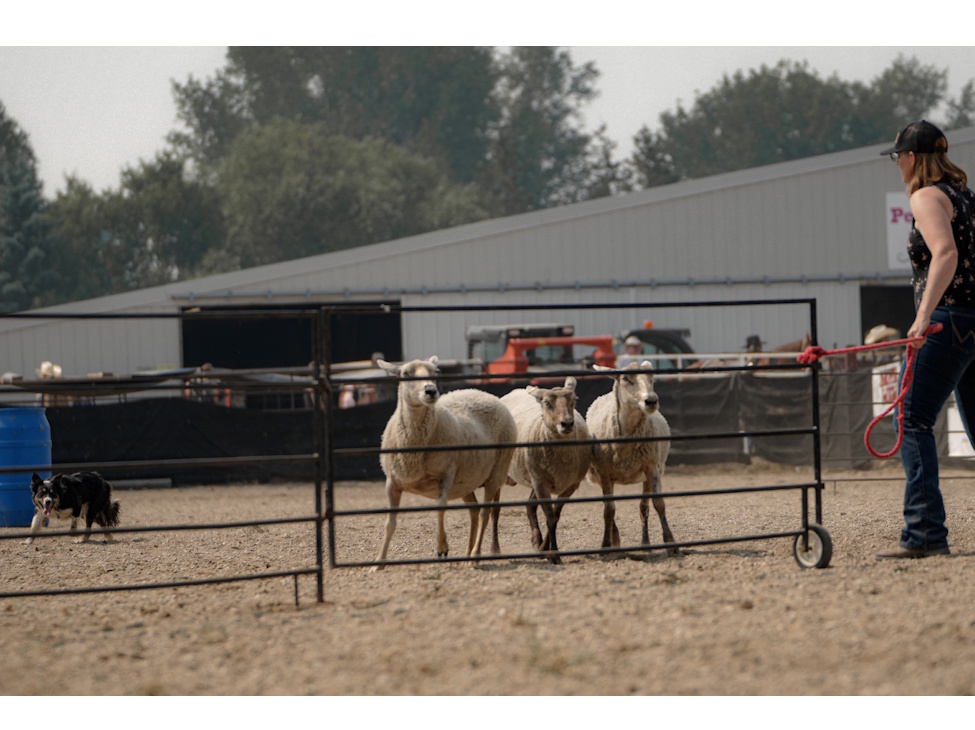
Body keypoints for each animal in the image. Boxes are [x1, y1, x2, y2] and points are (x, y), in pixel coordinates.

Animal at [372, 356, 516, 571]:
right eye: (405, 373)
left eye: (435, 373)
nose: (430, 390)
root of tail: (485, 394)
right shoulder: (392, 483)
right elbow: (389, 523)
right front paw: (379, 562)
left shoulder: (446, 475)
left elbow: (440, 506)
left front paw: (442, 547)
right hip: (467, 480)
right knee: (474, 511)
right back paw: (467, 553)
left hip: (496, 472)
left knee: (485, 513)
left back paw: (475, 555)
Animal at [499, 377, 591, 563]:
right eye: (547, 403)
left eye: (574, 400)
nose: (567, 424)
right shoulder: (541, 484)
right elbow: (550, 518)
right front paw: (554, 554)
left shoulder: (570, 486)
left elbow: (555, 516)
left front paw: (544, 548)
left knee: (529, 506)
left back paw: (537, 540)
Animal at [586, 360, 677, 555]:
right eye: (626, 378)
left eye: (651, 377)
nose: (651, 401)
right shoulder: (604, 472)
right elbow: (609, 510)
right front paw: (606, 545)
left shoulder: (651, 467)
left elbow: (658, 504)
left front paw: (670, 542)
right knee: (609, 507)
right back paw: (615, 539)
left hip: (647, 475)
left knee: (644, 506)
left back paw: (645, 544)